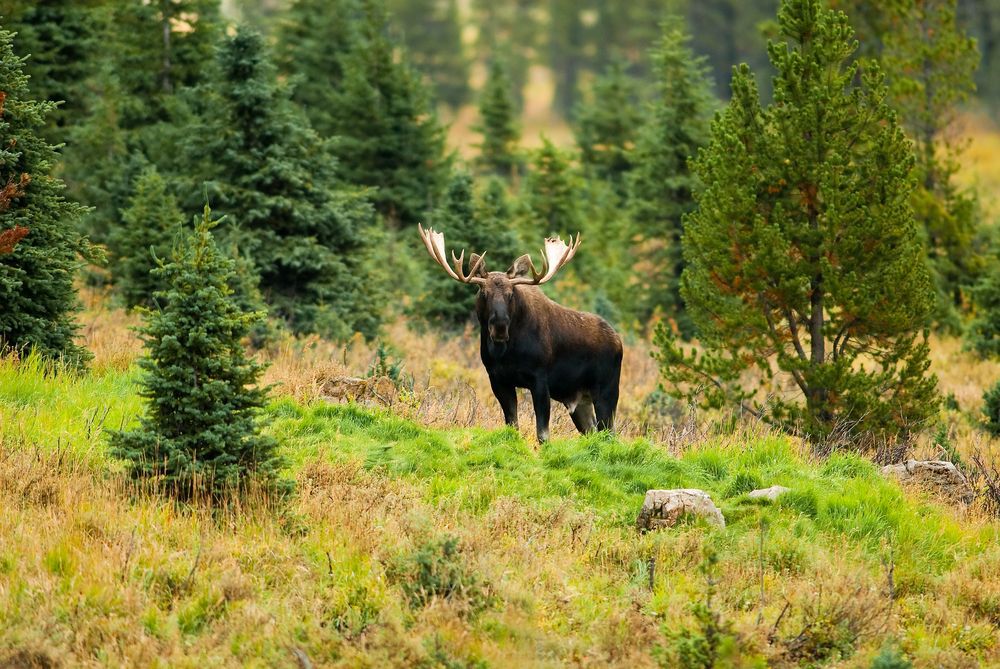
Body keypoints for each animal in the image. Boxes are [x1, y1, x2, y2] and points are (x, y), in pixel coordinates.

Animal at [419, 224, 623, 442]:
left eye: (510, 294)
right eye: (484, 292)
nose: (500, 327)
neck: (507, 354)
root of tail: (619, 341)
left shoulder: (540, 379)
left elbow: (542, 434)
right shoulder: (498, 379)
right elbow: (512, 426)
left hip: (607, 391)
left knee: (609, 434)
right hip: (580, 401)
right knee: (593, 432)